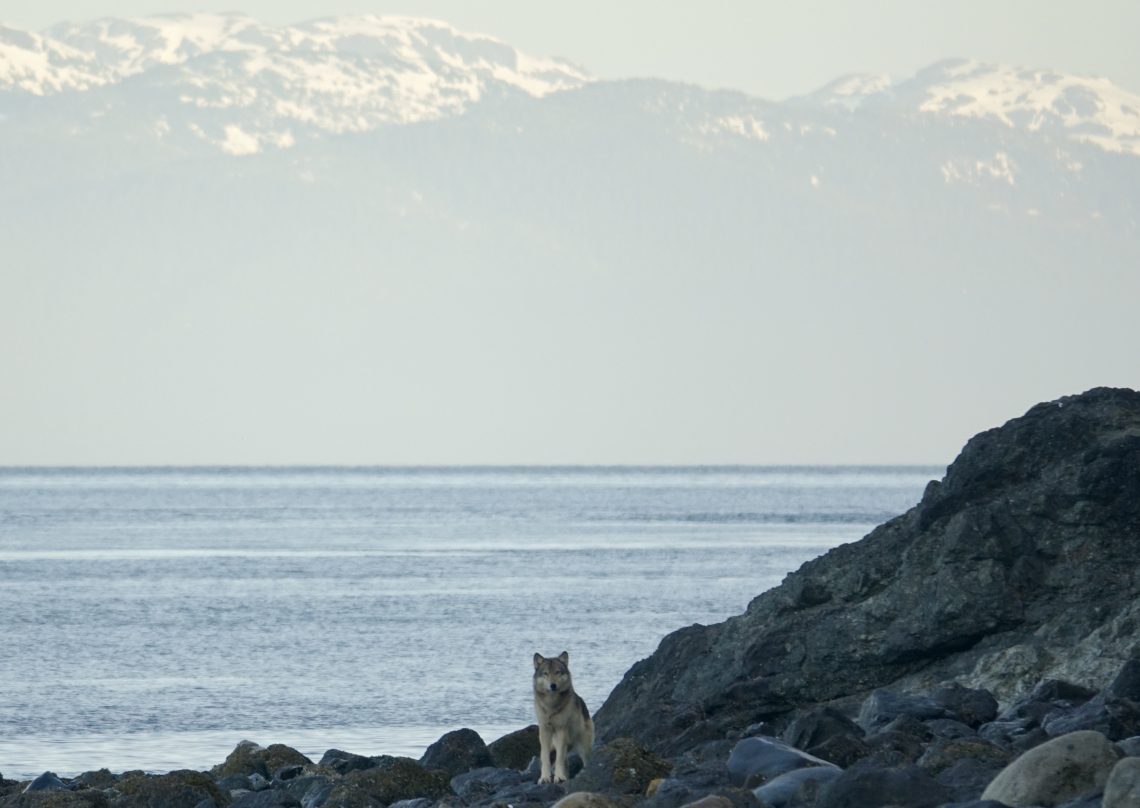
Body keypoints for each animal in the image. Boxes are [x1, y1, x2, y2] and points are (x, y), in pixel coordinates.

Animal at [533, 651, 594, 783]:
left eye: (557, 672)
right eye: (545, 673)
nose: (553, 685)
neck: (551, 705)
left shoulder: (561, 730)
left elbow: (559, 759)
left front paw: (559, 777)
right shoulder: (544, 731)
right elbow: (545, 757)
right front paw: (544, 778)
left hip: (582, 746)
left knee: (584, 761)